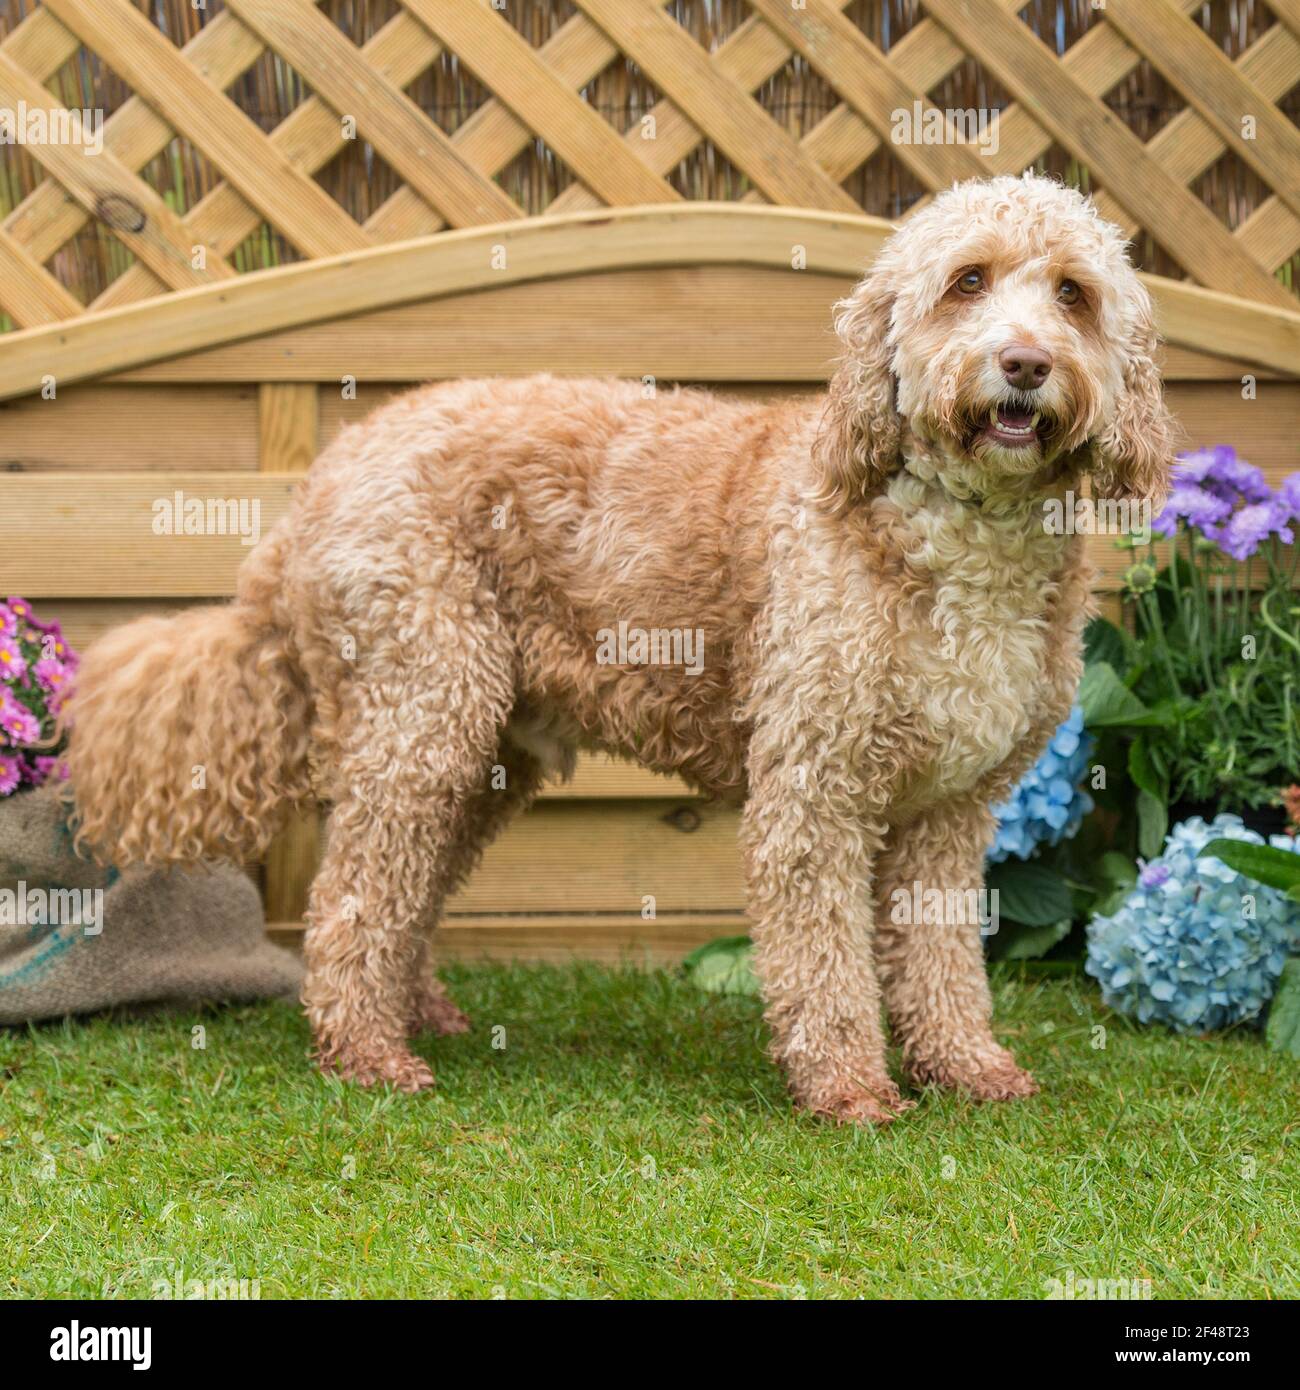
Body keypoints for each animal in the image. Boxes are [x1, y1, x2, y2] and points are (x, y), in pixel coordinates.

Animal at [66, 176, 1173, 1128]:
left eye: (1072, 294)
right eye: (968, 282)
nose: (1025, 363)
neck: (959, 528)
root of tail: (319, 480)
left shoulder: (951, 807)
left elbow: (941, 961)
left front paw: (966, 1068)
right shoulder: (813, 791)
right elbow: (825, 960)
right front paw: (850, 1088)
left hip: (483, 751)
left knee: (407, 889)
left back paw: (417, 1015)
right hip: (427, 710)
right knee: (352, 895)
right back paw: (367, 1054)